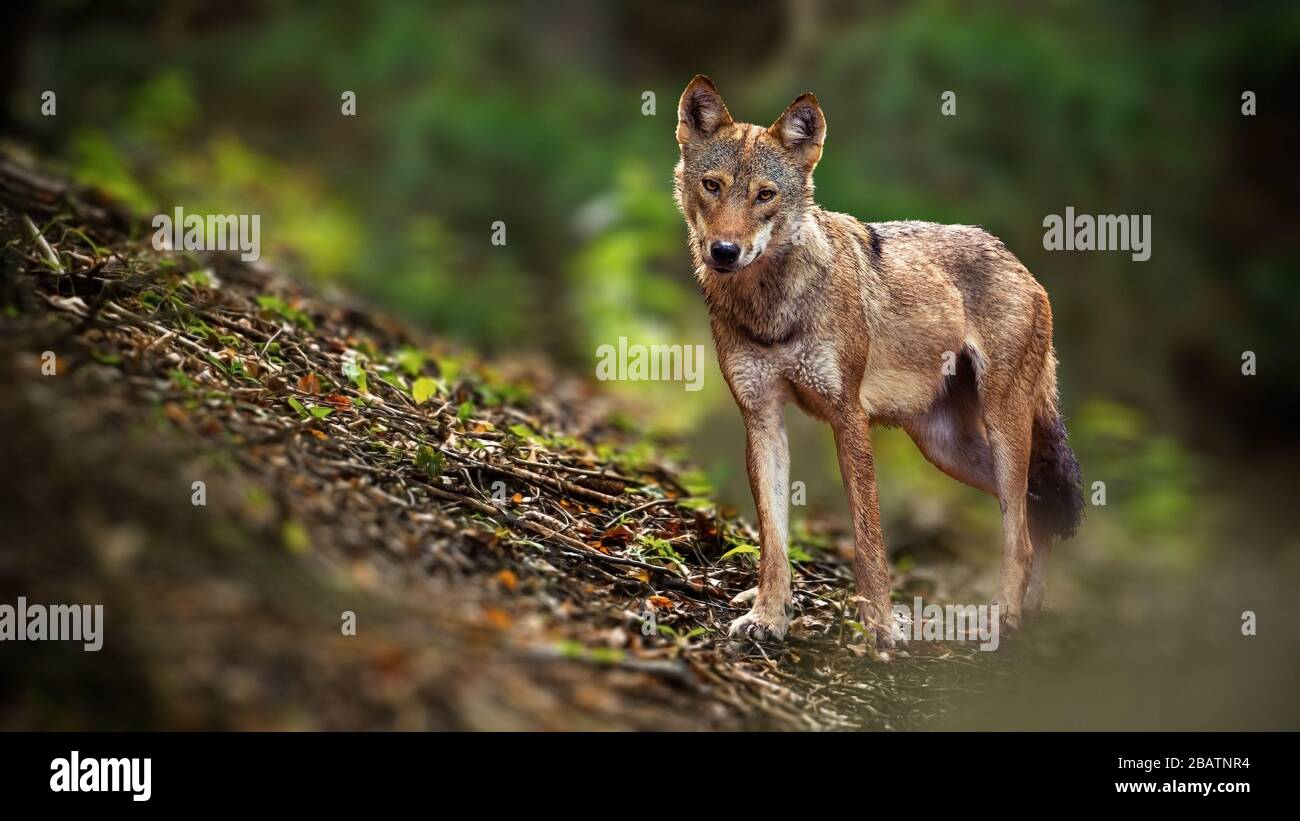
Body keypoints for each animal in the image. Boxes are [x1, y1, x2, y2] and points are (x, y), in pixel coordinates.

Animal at [673, 75, 1083, 648]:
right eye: (713, 186)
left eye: (764, 195)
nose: (725, 251)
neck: (772, 307)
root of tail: (1019, 262)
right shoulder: (762, 418)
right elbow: (774, 539)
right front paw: (768, 615)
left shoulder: (849, 416)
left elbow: (869, 539)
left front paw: (881, 628)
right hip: (945, 447)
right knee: (1035, 508)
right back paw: (1032, 612)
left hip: (1002, 428)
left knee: (1019, 531)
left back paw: (1004, 620)